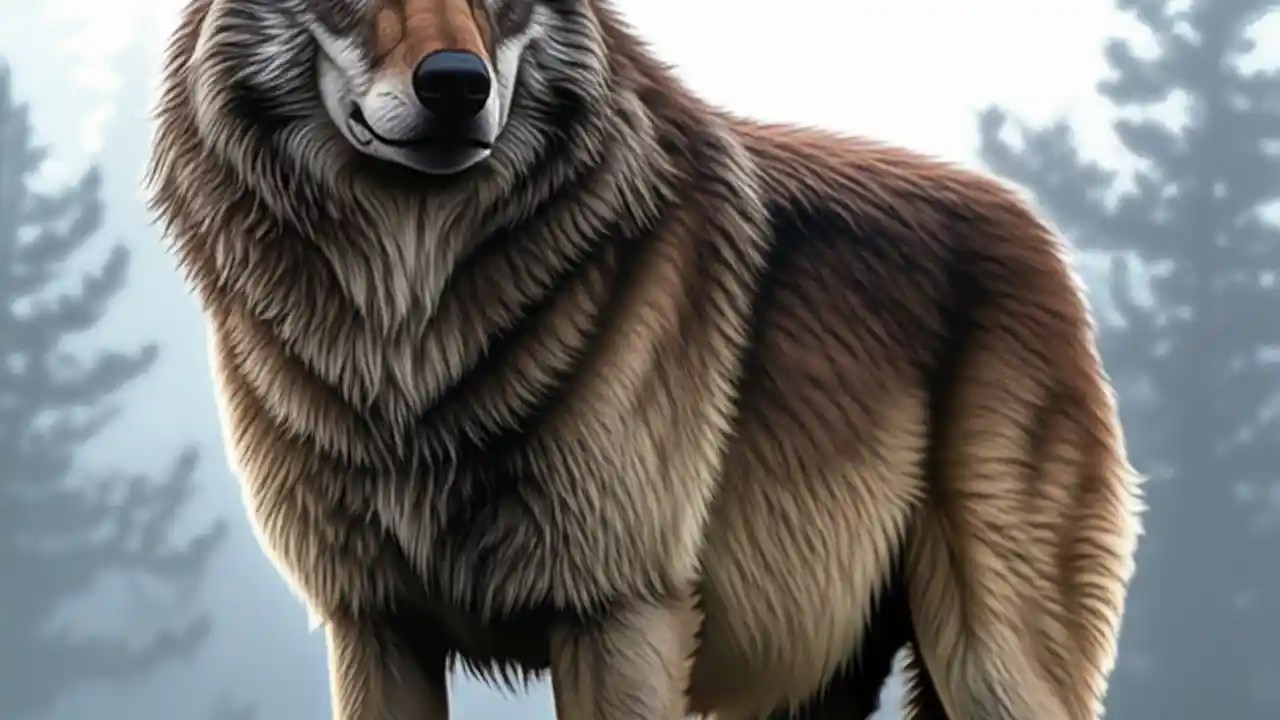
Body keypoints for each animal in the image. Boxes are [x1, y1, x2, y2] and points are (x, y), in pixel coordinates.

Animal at [148, 1, 1144, 718]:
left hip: (989, 663)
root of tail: (1035, 232)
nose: (458, 85)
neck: (411, 324)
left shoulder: (621, 613)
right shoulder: (375, 626)